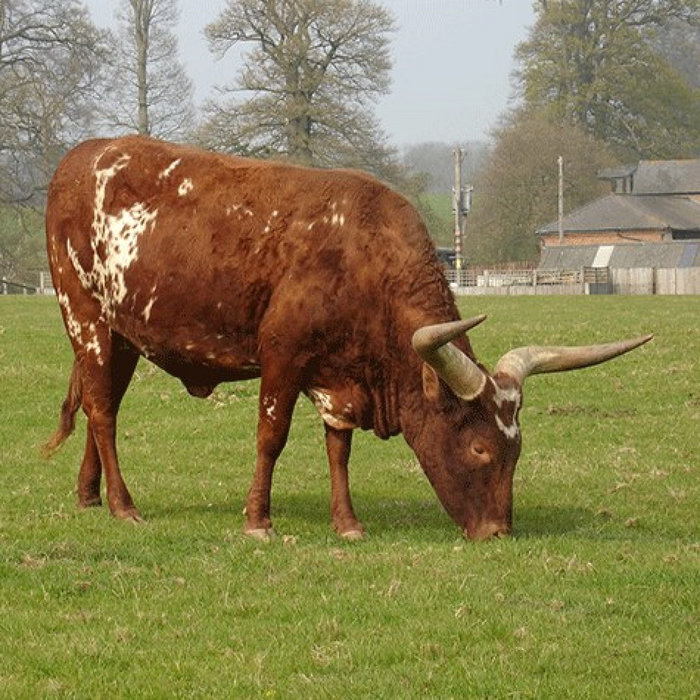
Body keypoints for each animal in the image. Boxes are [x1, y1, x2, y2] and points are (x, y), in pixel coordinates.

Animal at [44, 135, 651, 541]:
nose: (498, 532)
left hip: (121, 336)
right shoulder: (282, 357)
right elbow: (271, 437)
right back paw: (123, 505)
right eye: (479, 447)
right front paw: (258, 521)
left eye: (517, 449)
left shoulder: (337, 377)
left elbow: (339, 449)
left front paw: (347, 523)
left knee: (102, 405)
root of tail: (81, 156)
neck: (365, 259)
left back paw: (88, 495)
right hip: (85, 319)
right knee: (102, 411)